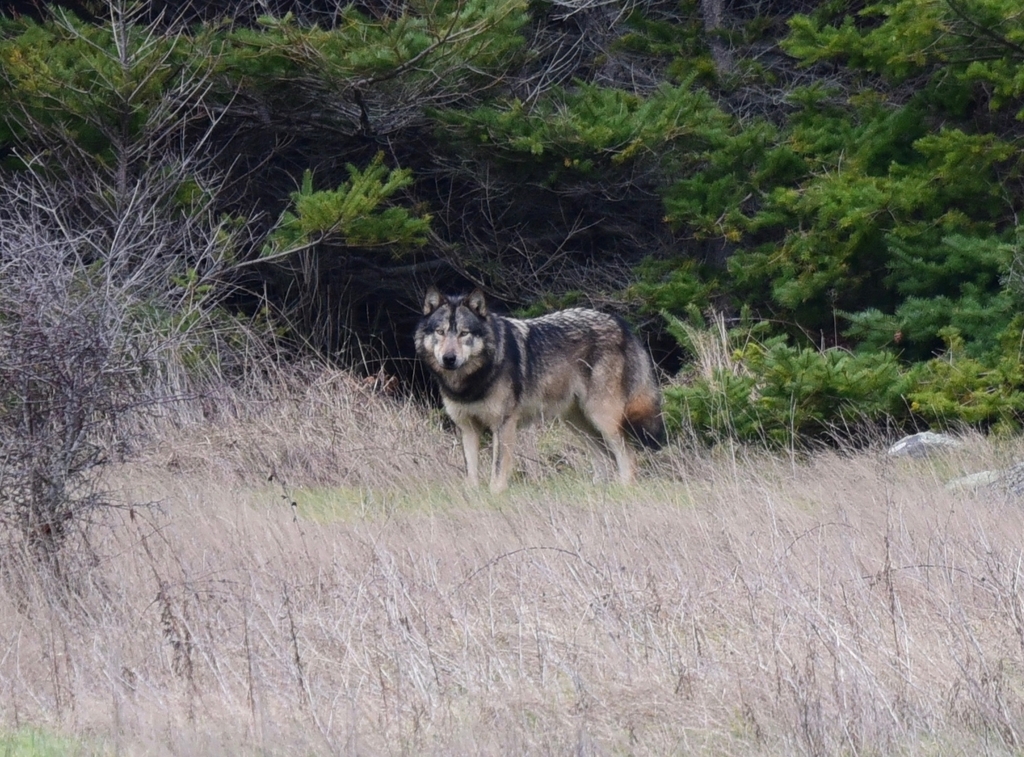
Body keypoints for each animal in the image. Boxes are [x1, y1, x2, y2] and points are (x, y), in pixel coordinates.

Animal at [415, 286, 665, 493]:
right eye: (440, 332)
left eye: (463, 333)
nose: (449, 358)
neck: (469, 382)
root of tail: (620, 323)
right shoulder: (467, 428)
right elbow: (471, 472)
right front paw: (474, 496)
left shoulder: (504, 425)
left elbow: (498, 469)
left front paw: (496, 495)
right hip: (576, 423)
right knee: (603, 458)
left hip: (602, 418)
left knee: (629, 456)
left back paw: (624, 490)